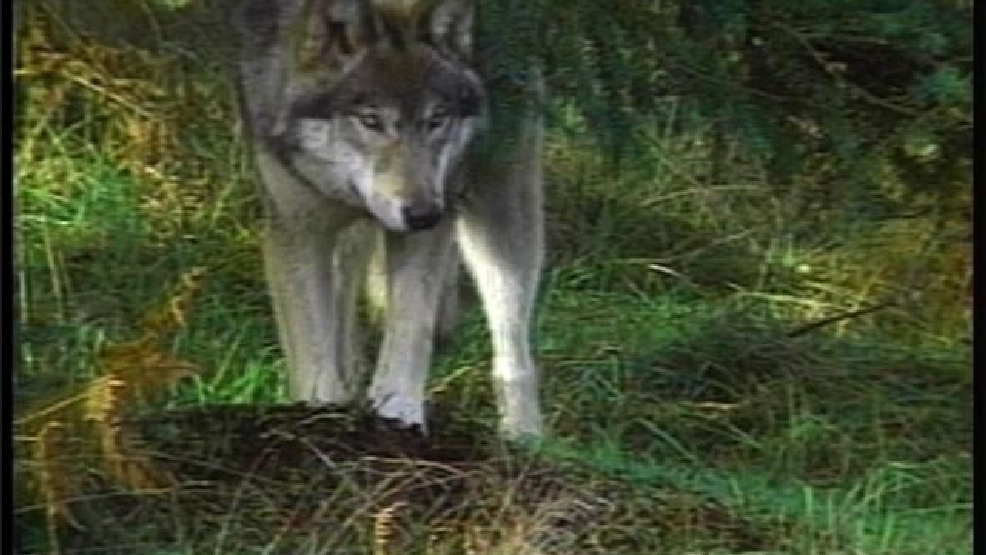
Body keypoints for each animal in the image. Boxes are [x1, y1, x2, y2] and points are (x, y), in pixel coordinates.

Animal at [233, 0, 545, 438]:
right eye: (371, 121)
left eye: (436, 120)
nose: (424, 213)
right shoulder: (296, 228)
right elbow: (313, 345)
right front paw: (320, 411)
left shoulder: (427, 225)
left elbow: (411, 326)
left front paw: (399, 416)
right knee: (345, 294)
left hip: (498, 201)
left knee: (511, 336)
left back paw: (523, 435)